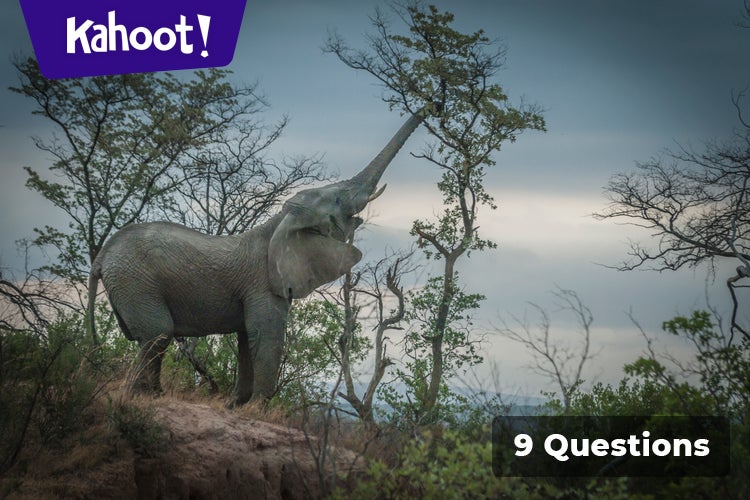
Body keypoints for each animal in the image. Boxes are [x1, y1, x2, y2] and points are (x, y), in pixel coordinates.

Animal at [87, 109, 424, 405]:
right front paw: (257, 406)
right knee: (157, 335)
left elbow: (247, 341)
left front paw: (236, 405)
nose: (432, 103)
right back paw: (139, 396)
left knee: (153, 340)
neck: (279, 223)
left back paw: (154, 395)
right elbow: (267, 336)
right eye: (339, 199)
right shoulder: (264, 282)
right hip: (135, 280)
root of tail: (100, 258)